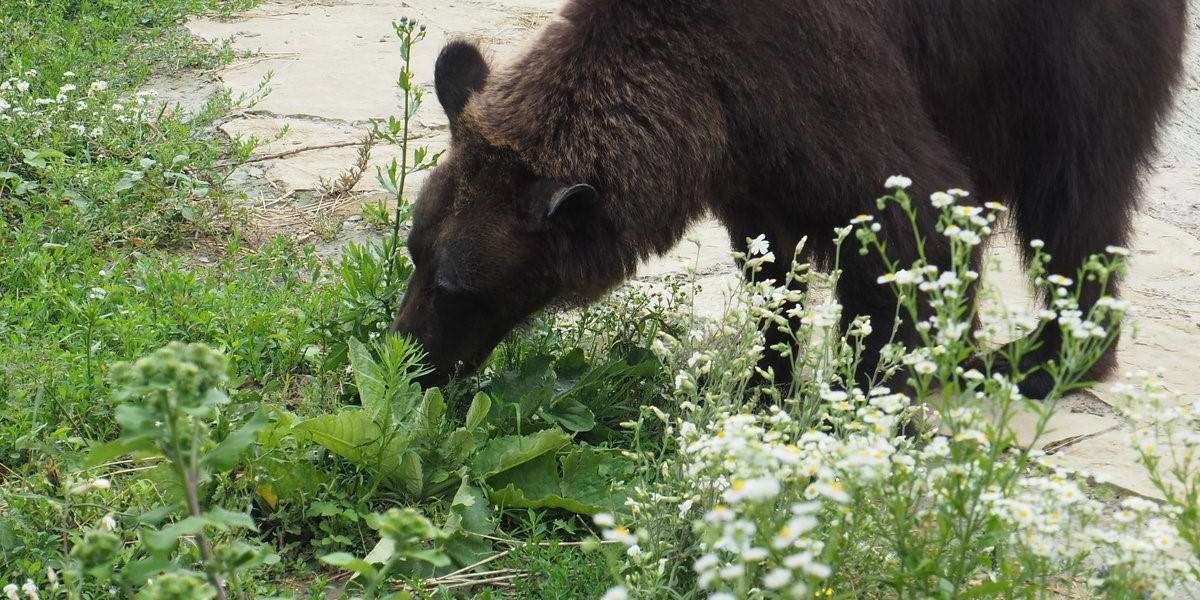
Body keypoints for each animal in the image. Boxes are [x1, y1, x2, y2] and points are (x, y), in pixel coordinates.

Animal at [392, 0, 1188, 398]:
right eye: (414, 250)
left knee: (1075, 199)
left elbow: (909, 220)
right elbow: (772, 268)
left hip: (1063, 59)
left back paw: (1042, 359)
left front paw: (864, 394)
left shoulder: (820, 73)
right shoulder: (752, 161)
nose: (411, 358)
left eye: (459, 289)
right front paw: (763, 378)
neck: (704, 96)